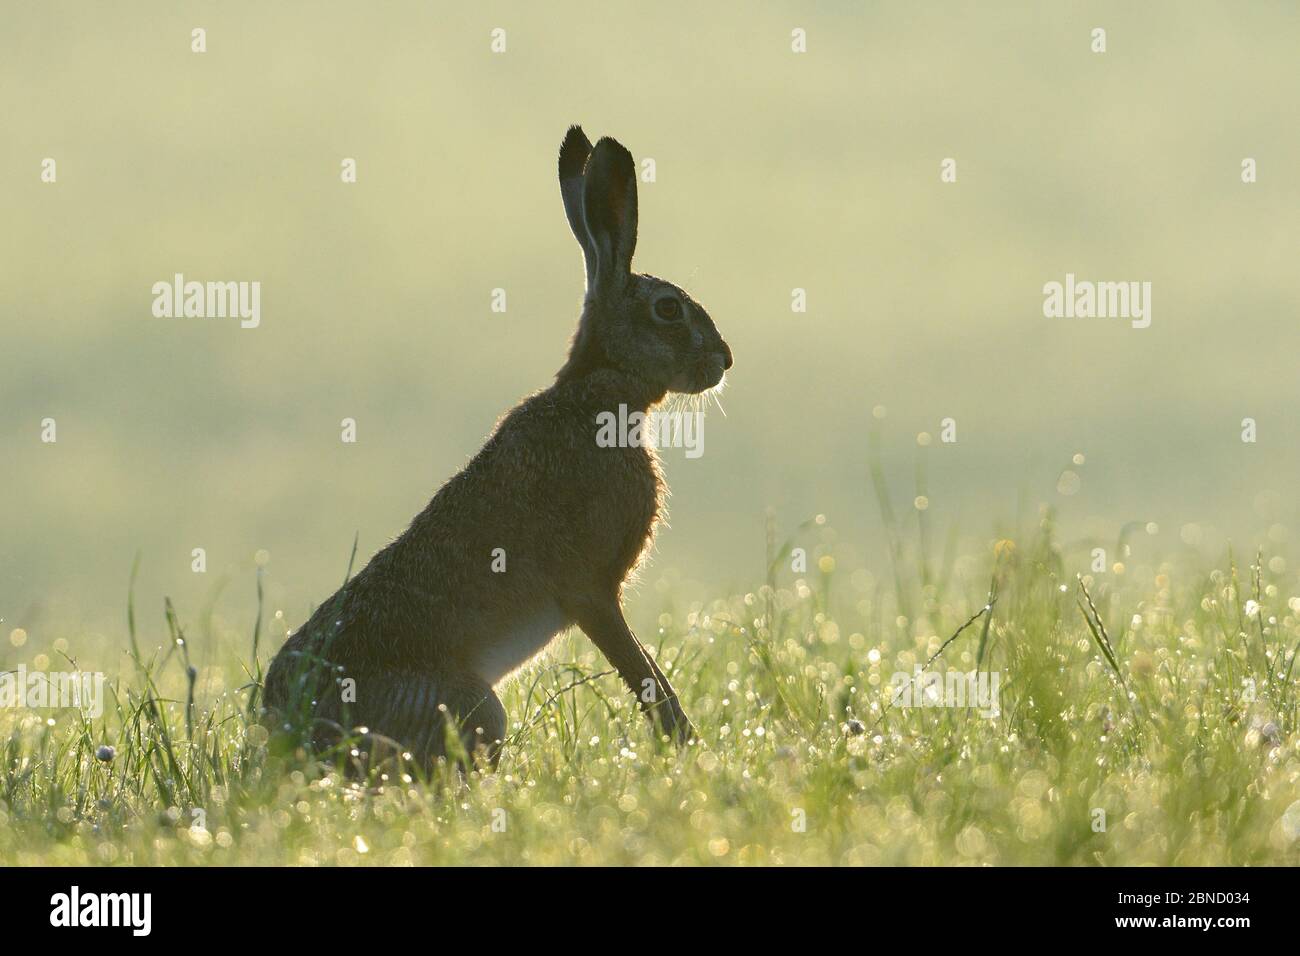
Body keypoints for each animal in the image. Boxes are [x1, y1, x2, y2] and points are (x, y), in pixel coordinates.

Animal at [262, 126, 732, 771]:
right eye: (669, 309)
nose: (725, 361)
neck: (598, 388)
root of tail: (287, 726)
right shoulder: (589, 590)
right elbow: (645, 679)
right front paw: (689, 750)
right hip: (478, 708)